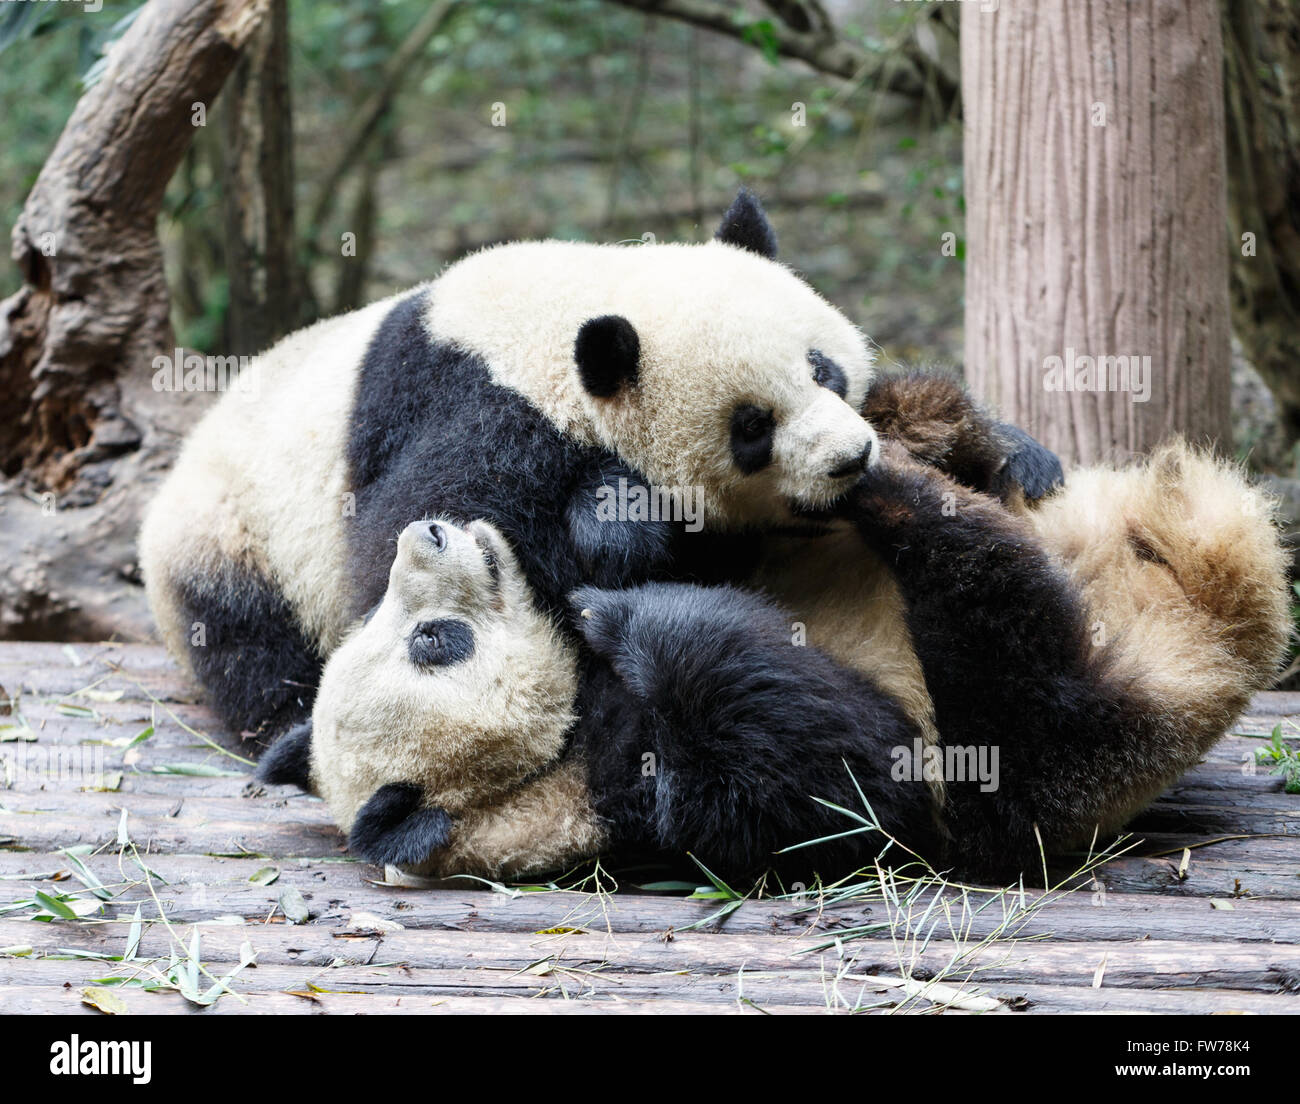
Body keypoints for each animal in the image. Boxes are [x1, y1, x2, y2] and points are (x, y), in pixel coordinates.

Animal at [263, 426, 1290, 880]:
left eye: (403, 628)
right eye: (436, 642)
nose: (427, 533)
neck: (560, 760)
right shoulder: (665, 795)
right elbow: (838, 754)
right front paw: (616, 614)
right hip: (1049, 741)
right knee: (994, 612)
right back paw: (894, 485)